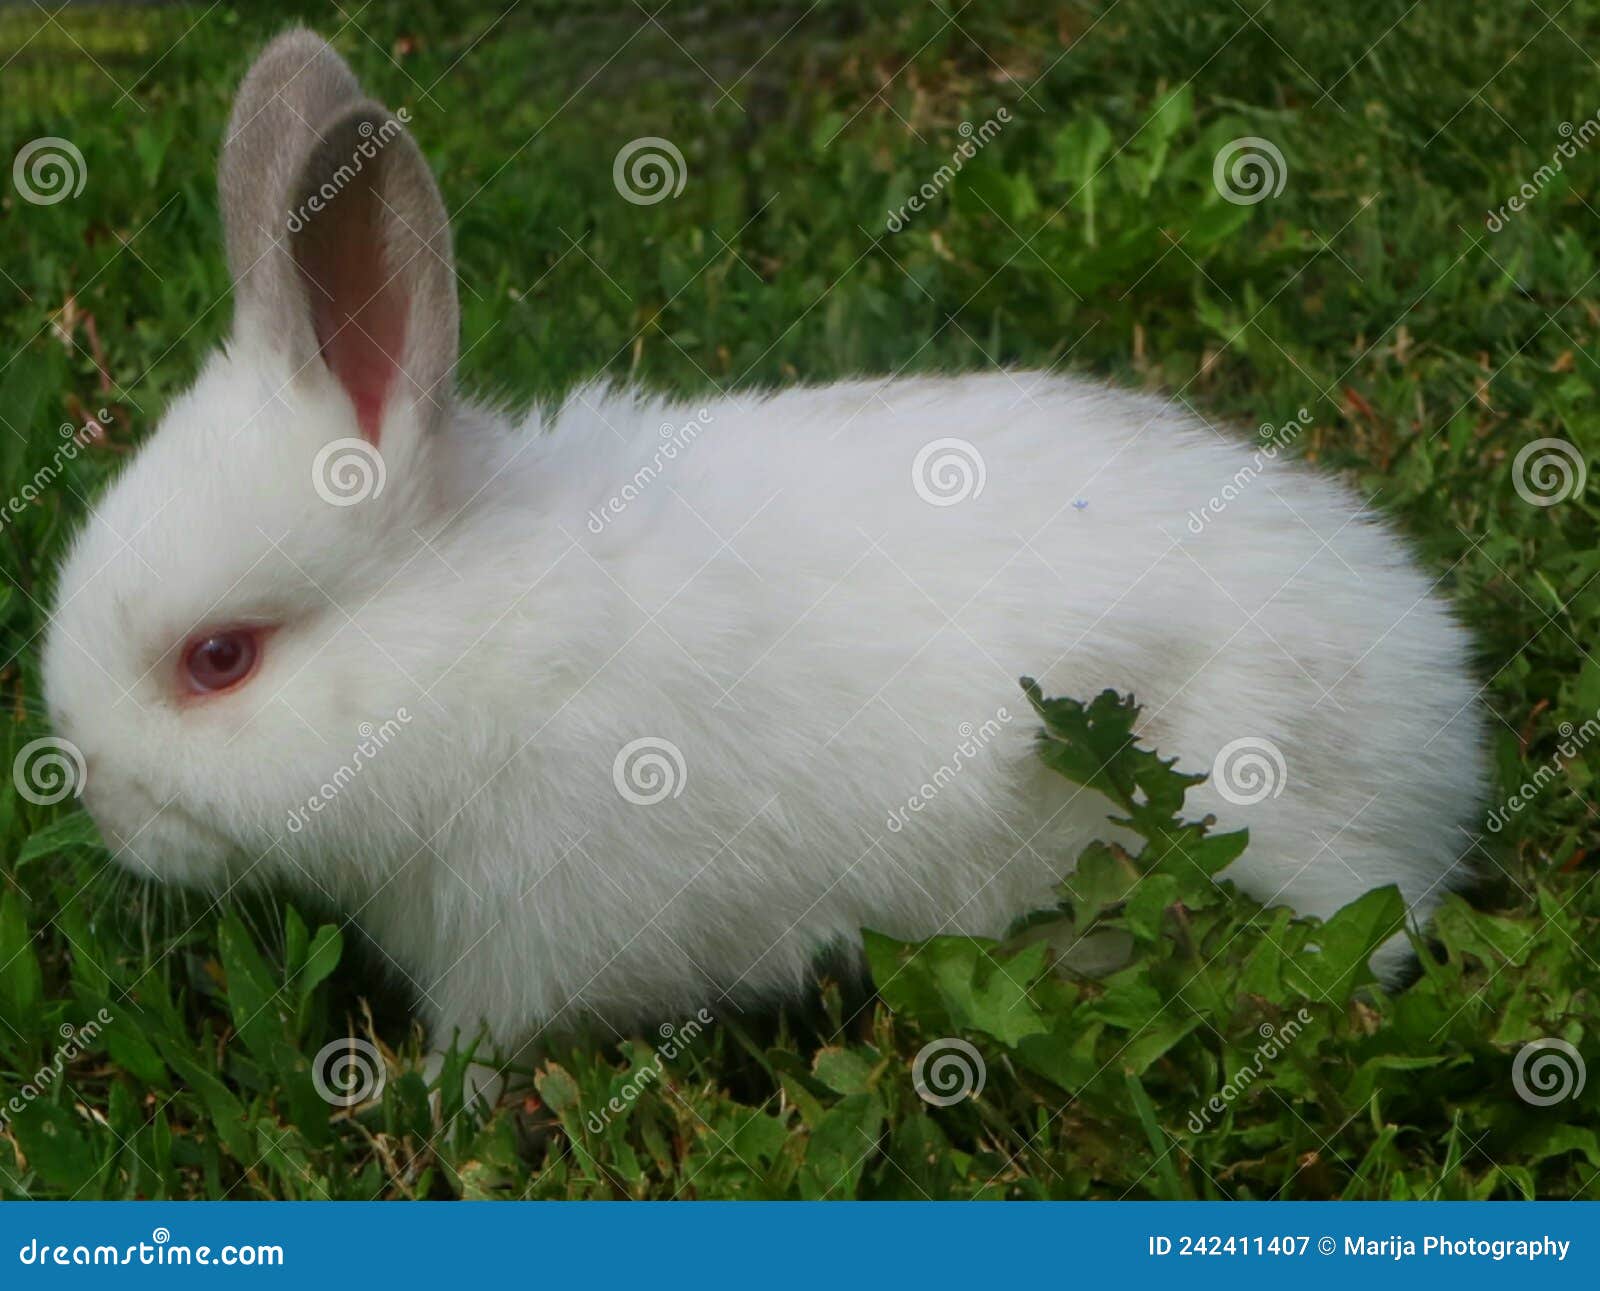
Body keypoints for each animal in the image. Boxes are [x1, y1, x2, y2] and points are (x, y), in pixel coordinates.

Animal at [43, 29, 1485, 1086]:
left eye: (218, 659)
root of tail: (1440, 700)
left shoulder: (520, 941)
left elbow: (484, 1049)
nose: (97, 798)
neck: (471, 638)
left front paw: (419, 1101)